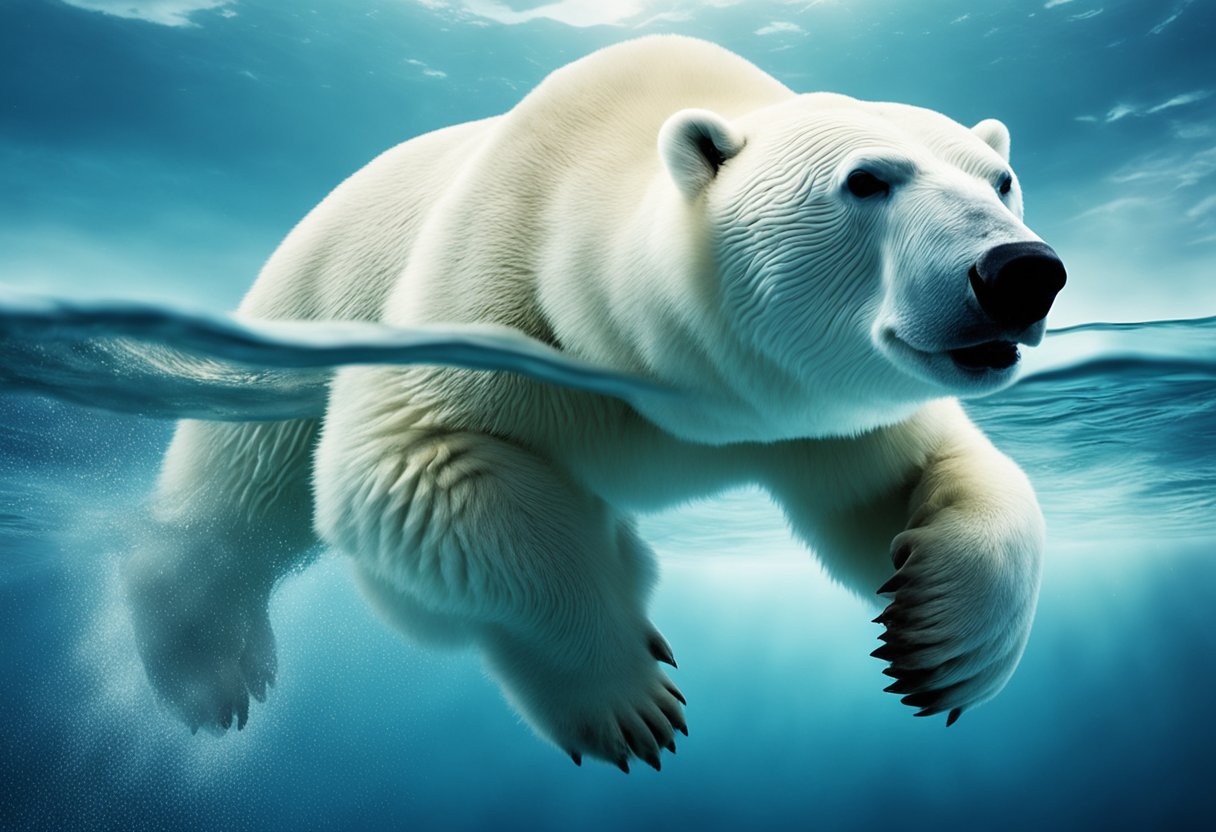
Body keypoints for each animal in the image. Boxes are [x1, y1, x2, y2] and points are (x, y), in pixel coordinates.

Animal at [123, 35, 1065, 771]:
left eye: (1002, 179)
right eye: (866, 180)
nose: (1020, 272)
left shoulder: (810, 414)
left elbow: (905, 487)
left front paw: (944, 641)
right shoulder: (489, 300)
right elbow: (412, 463)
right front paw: (624, 696)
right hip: (314, 294)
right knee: (243, 480)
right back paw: (211, 668)